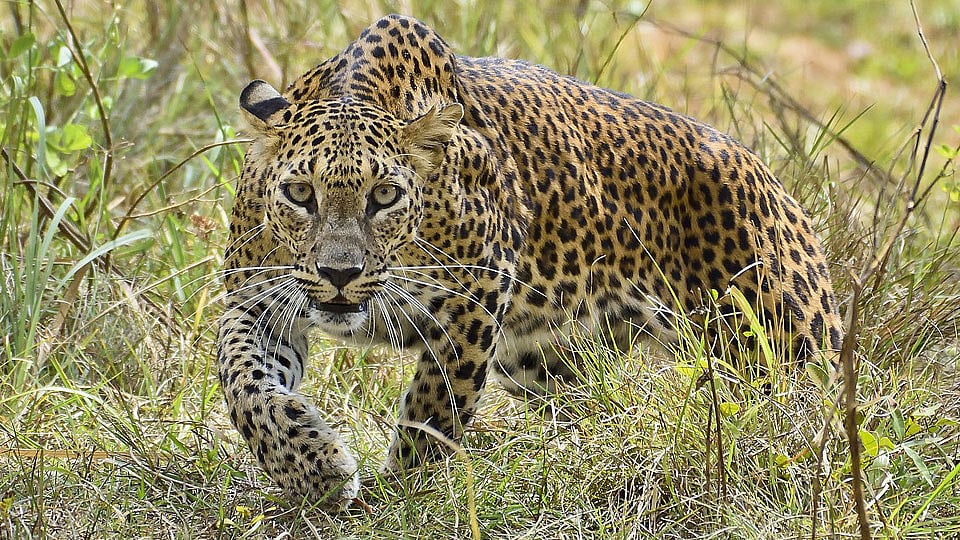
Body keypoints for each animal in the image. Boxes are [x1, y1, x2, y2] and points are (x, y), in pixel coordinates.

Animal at [217, 14, 843, 508]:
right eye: (301, 194)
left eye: (385, 196)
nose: (340, 275)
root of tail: (772, 179)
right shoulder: (255, 299)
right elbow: (244, 384)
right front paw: (314, 469)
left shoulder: (474, 299)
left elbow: (435, 408)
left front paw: (398, 494)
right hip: (545, 359)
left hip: (784, 343)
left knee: (818, 415)